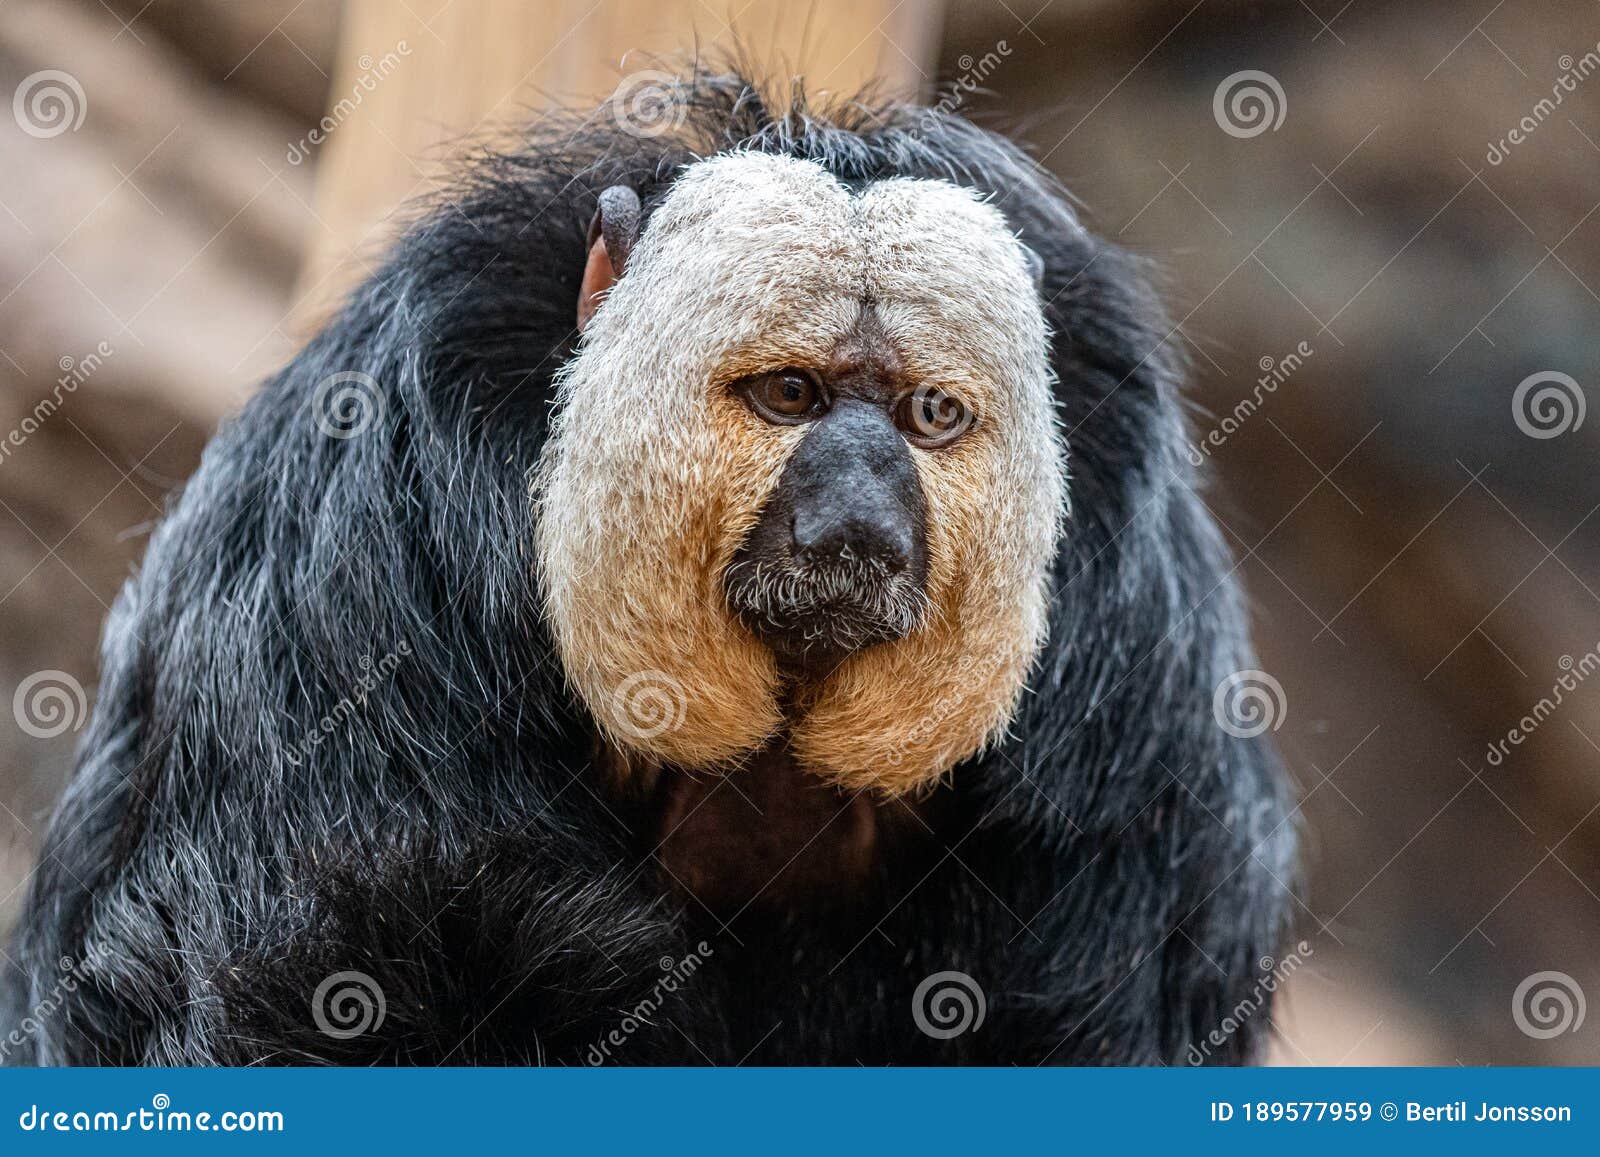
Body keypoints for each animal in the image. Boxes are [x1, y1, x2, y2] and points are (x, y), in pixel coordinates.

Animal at [1, 72, 1295, 1066]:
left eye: (929, 417)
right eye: (791, 395)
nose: (860, 517)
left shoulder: (1137, 678)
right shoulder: (360, 532)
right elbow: (318, 968)